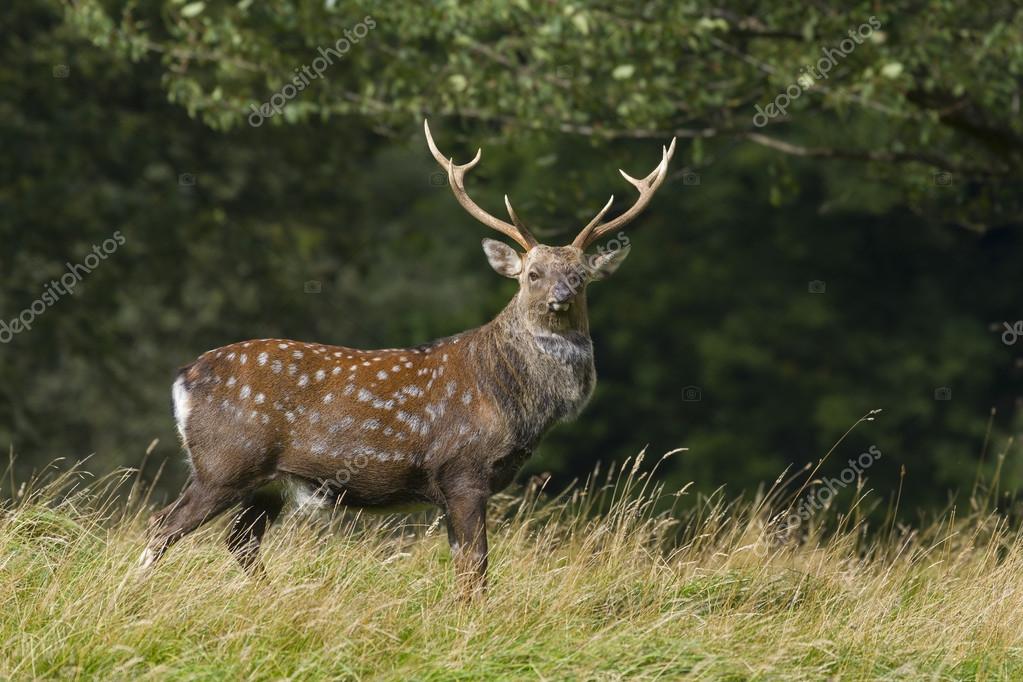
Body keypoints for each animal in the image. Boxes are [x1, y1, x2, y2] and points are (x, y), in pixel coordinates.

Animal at [139, 120, 675, 595]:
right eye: (532, 274)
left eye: (581, 276)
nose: (560, 298)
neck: (513, 401)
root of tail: (183, 377)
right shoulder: (463, 470)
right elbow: (476, 572)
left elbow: (465, 569)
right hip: (224, 462)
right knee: (161, 528)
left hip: (268, 482)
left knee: (239, 542)